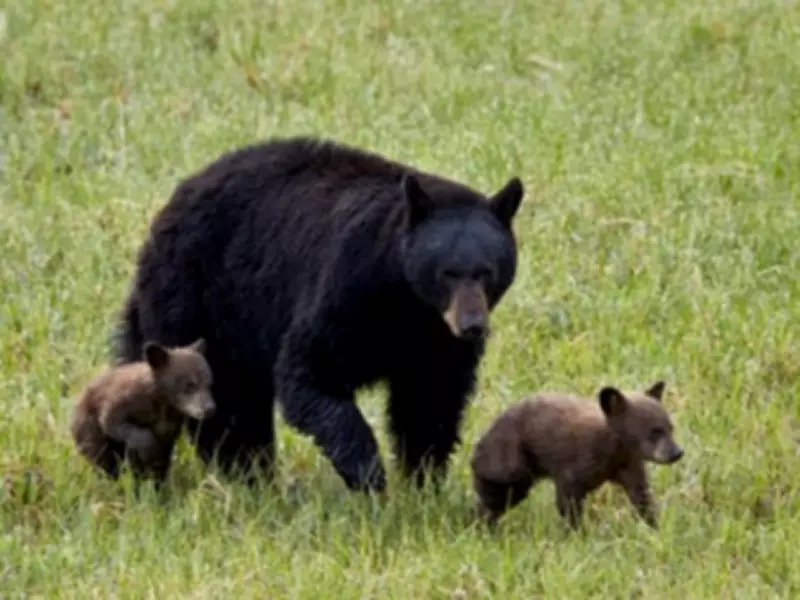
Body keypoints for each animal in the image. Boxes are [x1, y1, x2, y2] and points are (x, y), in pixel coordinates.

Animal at [71, 338, 216, 485]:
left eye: (209, 383)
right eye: (189, 385)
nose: (209, 409)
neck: (163, 402)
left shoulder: (171, 424)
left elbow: (163, 456)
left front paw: (158, 482)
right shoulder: (124, 400)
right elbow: (112, 422)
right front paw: (147, 451)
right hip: (89, 430)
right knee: (104, 458)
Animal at [112, 136, 526, 493]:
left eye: (487, 272)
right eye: (446, 273)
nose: (472, 326)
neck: (407, 303)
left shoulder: (435, 339)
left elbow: (431, 397)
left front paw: (423, 481)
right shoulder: (347, 291)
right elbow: (311, 373)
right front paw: (369, 474)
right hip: (197, 300)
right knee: (226, 399)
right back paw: (243, 474)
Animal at [470, 380, 683, 530]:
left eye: (670, 428)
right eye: (654, 431)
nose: (677, 453)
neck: (614, 451)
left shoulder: (630, 465)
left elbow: (641, 496)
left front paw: (654, 527)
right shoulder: (575, 466)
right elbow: (568, 500)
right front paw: (577, 534)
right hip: (511, 461)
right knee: (495, 493)